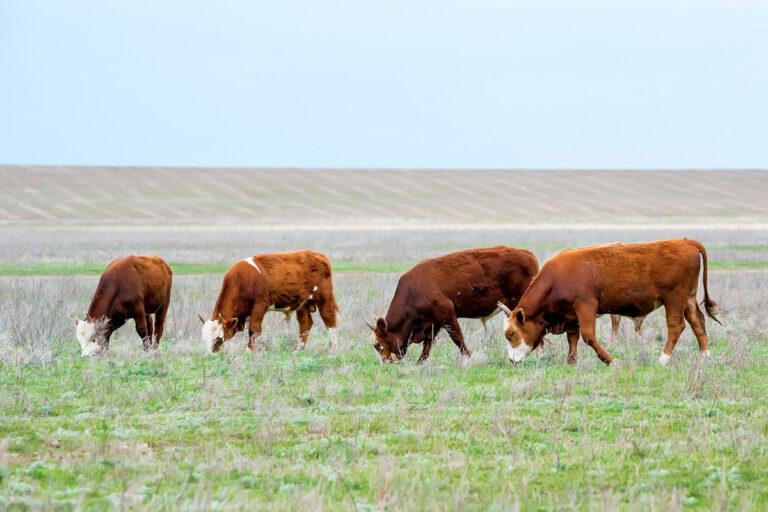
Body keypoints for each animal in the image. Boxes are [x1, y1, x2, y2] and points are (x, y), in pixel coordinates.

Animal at [199, 250, 339, 354]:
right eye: (204, 339)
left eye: (218, 339)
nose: (211, 354)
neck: (242, 281)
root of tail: (317, 255)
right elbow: (257, 330)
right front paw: (261, 349)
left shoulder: (260, 305)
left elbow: (254, 328)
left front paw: (251, 350)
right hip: (303, 303)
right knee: (305, 324)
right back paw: (298, 350)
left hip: (324, 297)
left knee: (329, 320)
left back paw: (332, 349)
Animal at [365, 246, 539, 364]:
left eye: (378, 344)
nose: (386, 362)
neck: (412, 291)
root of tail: (528, 254)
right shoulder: (432, 322)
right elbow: (428, 343)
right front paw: (420, 363)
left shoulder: (446, 313)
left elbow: (457, 338)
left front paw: (468, 359)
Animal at [498, 239, 721, 366]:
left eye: (511, 334)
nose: (511, 360)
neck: (556, 281)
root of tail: (686, 242)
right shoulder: (570, 314)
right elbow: (573, 337)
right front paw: (571, 361)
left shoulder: (586, 306)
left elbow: (588, 336)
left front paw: (610, 360)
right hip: (688, 298)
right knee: (698, 323)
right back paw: (705, 356)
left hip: (674, 299)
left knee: (676, 326)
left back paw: (663, 359)